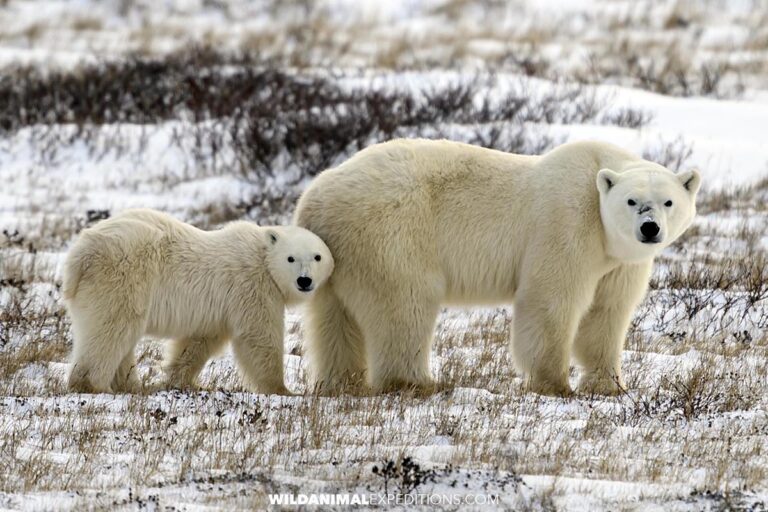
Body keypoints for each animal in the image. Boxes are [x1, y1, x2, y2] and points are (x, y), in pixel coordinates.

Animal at [61, 208, 334, 395]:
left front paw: (184, 380)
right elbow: (259, 337)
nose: (304, 280)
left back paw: (130, 385)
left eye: (317, 256)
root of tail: (80, 255)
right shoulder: (252, 286)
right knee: (111, 329)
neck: (262, 256)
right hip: (123, 277)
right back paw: (92, 385)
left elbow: (199, 341)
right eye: (291, 258)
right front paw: (283, 390)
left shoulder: (217, 309)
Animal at [294, 139, 700, 396]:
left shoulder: (618, 261)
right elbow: (551, 301)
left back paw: (342, 384)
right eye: (632, 201)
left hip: (335, 258)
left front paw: (609, 385)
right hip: (391, 234)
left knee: (335, 320)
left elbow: (607, 313)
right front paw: (554, 384)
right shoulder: (567, 225)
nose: (650, 229)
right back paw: (417, 383)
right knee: (405, 304)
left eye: (668, 201)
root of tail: (315, 197)